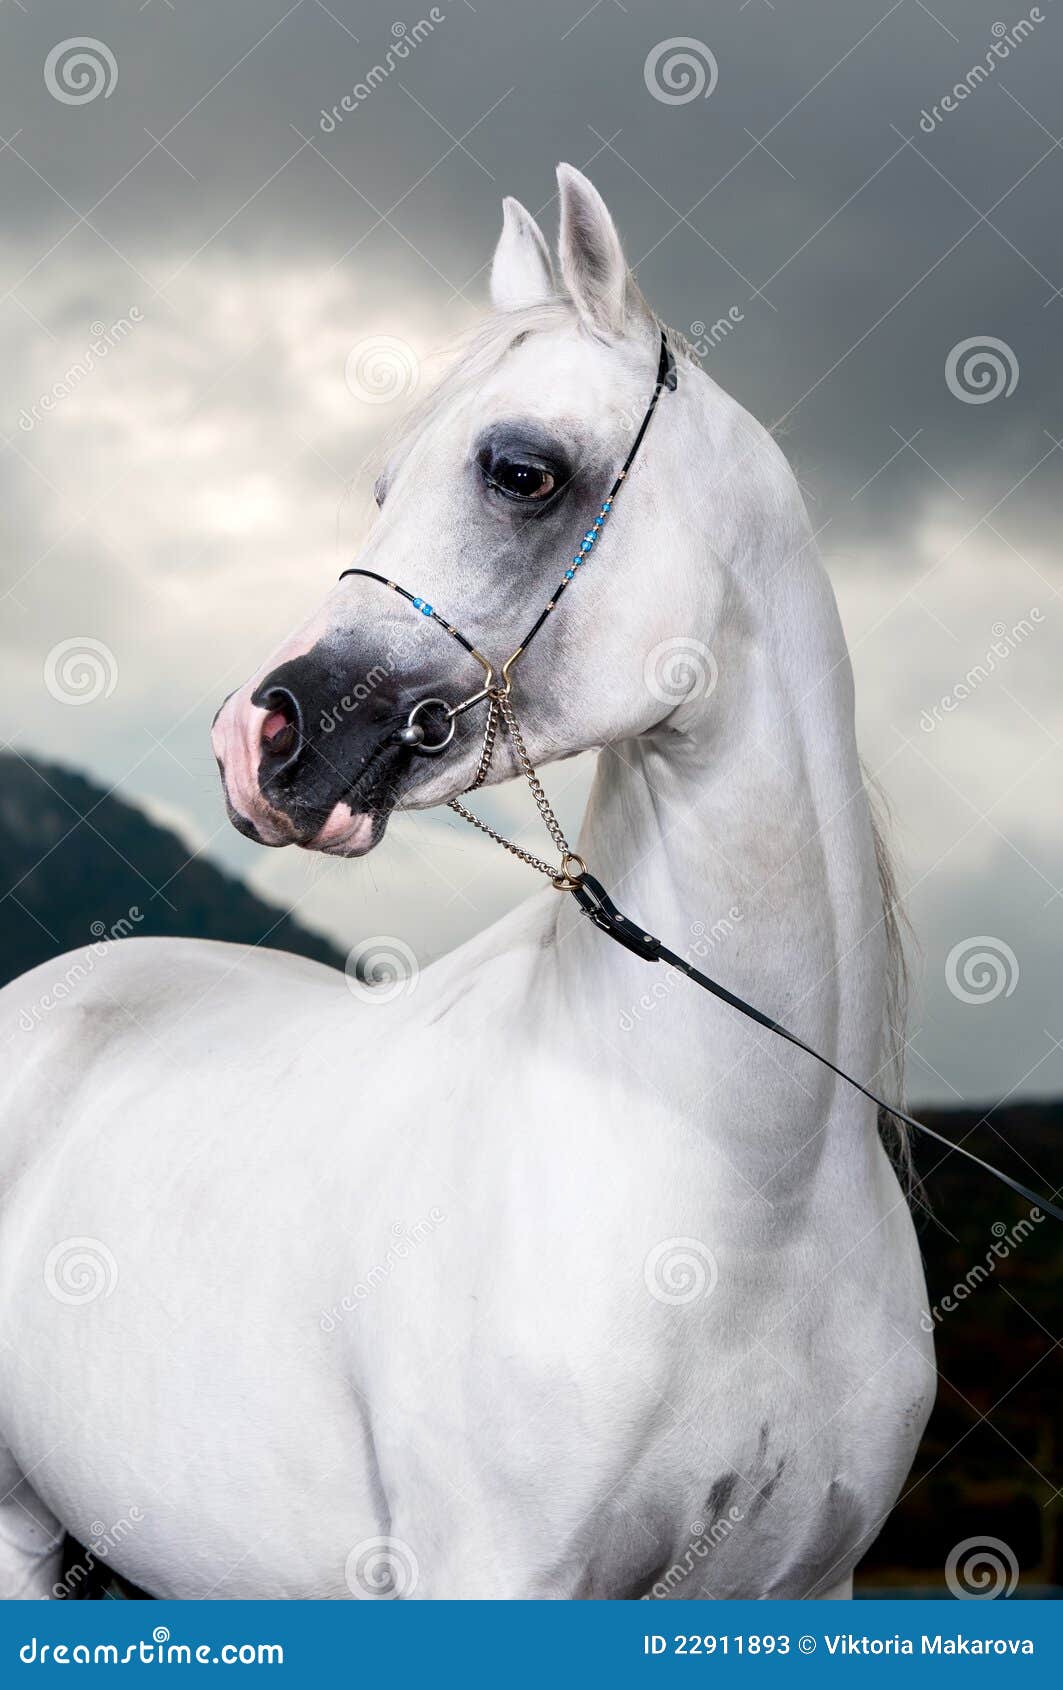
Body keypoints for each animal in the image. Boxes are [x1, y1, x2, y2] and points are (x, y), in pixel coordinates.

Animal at [0, 165, 934, 1600]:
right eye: (385, 484)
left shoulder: (807, 1588)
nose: (256, 735)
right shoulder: (494, 1572)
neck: (748, 1195)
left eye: (519, 470)